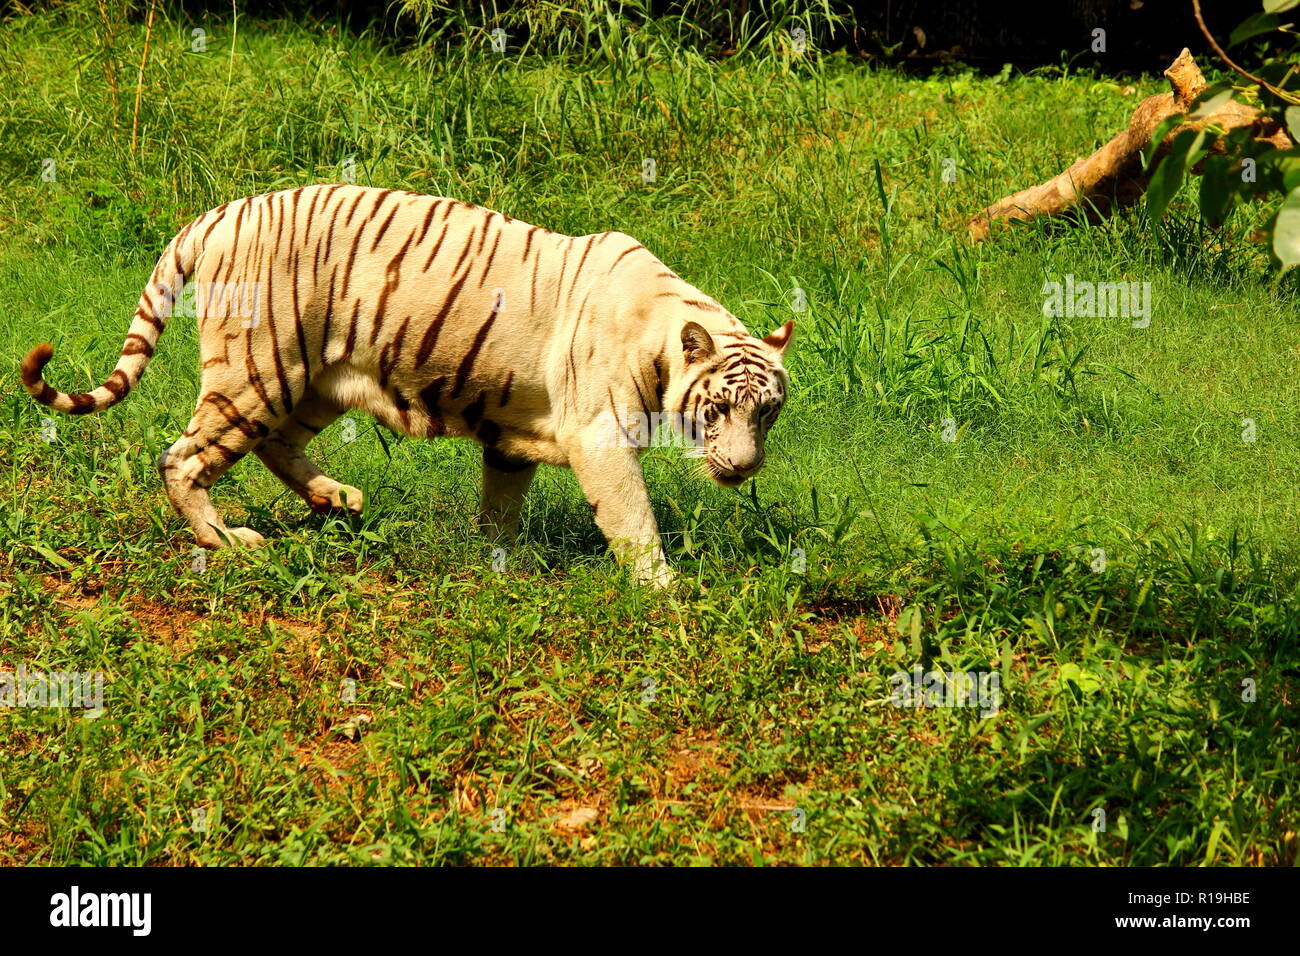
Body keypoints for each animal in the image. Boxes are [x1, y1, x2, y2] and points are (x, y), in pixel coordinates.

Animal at [21, 184, 794, 587]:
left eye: (768, 415)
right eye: (719, 408)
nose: (744, 466)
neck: (662, 334)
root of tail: (217, 214)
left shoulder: (510, 432)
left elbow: (501, 505)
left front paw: (496, 563)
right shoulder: (600, 438)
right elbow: (633, 518)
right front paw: (663, 592)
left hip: (314, 380)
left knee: (272, 444)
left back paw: (339, 498)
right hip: (258, 368)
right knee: (181, 458)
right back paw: (230, 541)